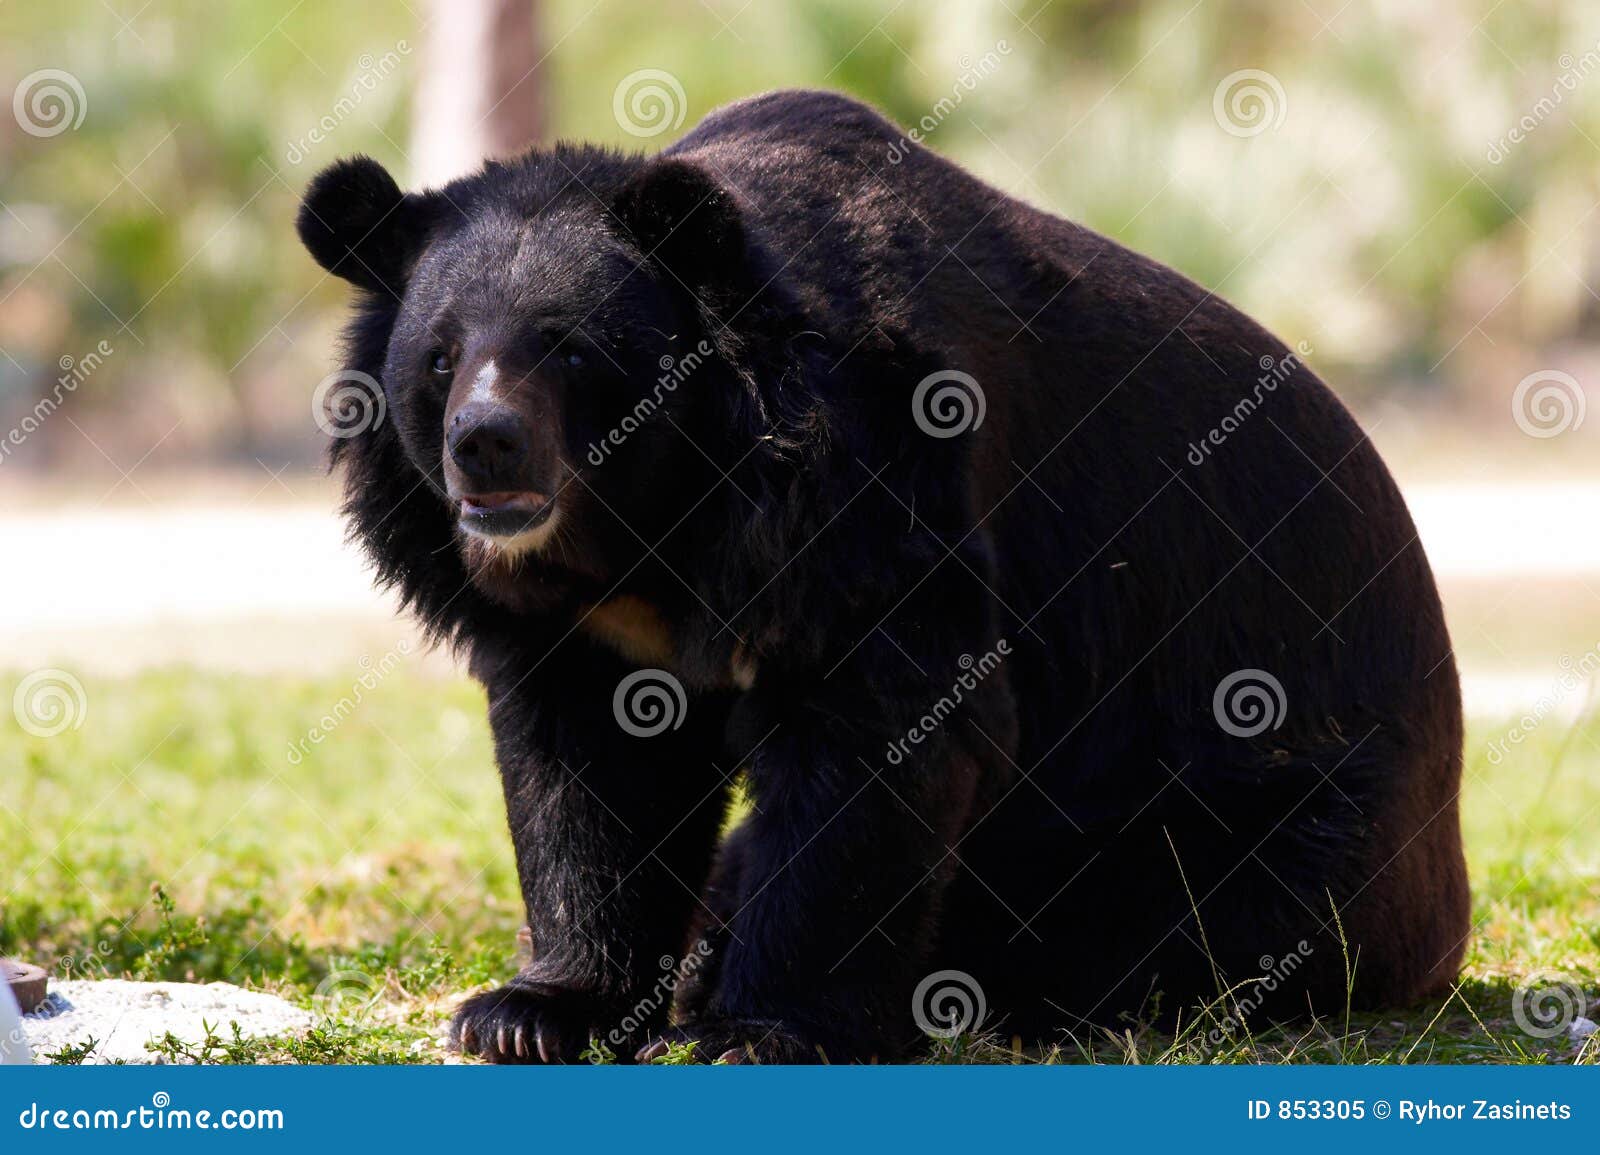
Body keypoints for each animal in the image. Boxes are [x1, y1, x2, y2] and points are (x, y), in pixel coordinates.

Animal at [296, 89, 1468, 1063]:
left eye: (572, 350)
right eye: (440, 358)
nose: (486, 448)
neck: (652, 527)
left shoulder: (881, 486)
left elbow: (877, 721)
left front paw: (752, 1031)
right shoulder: (578, 630)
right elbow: (589, 771)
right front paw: (530, 1013)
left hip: (1275, 801)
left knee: (1216, 908)